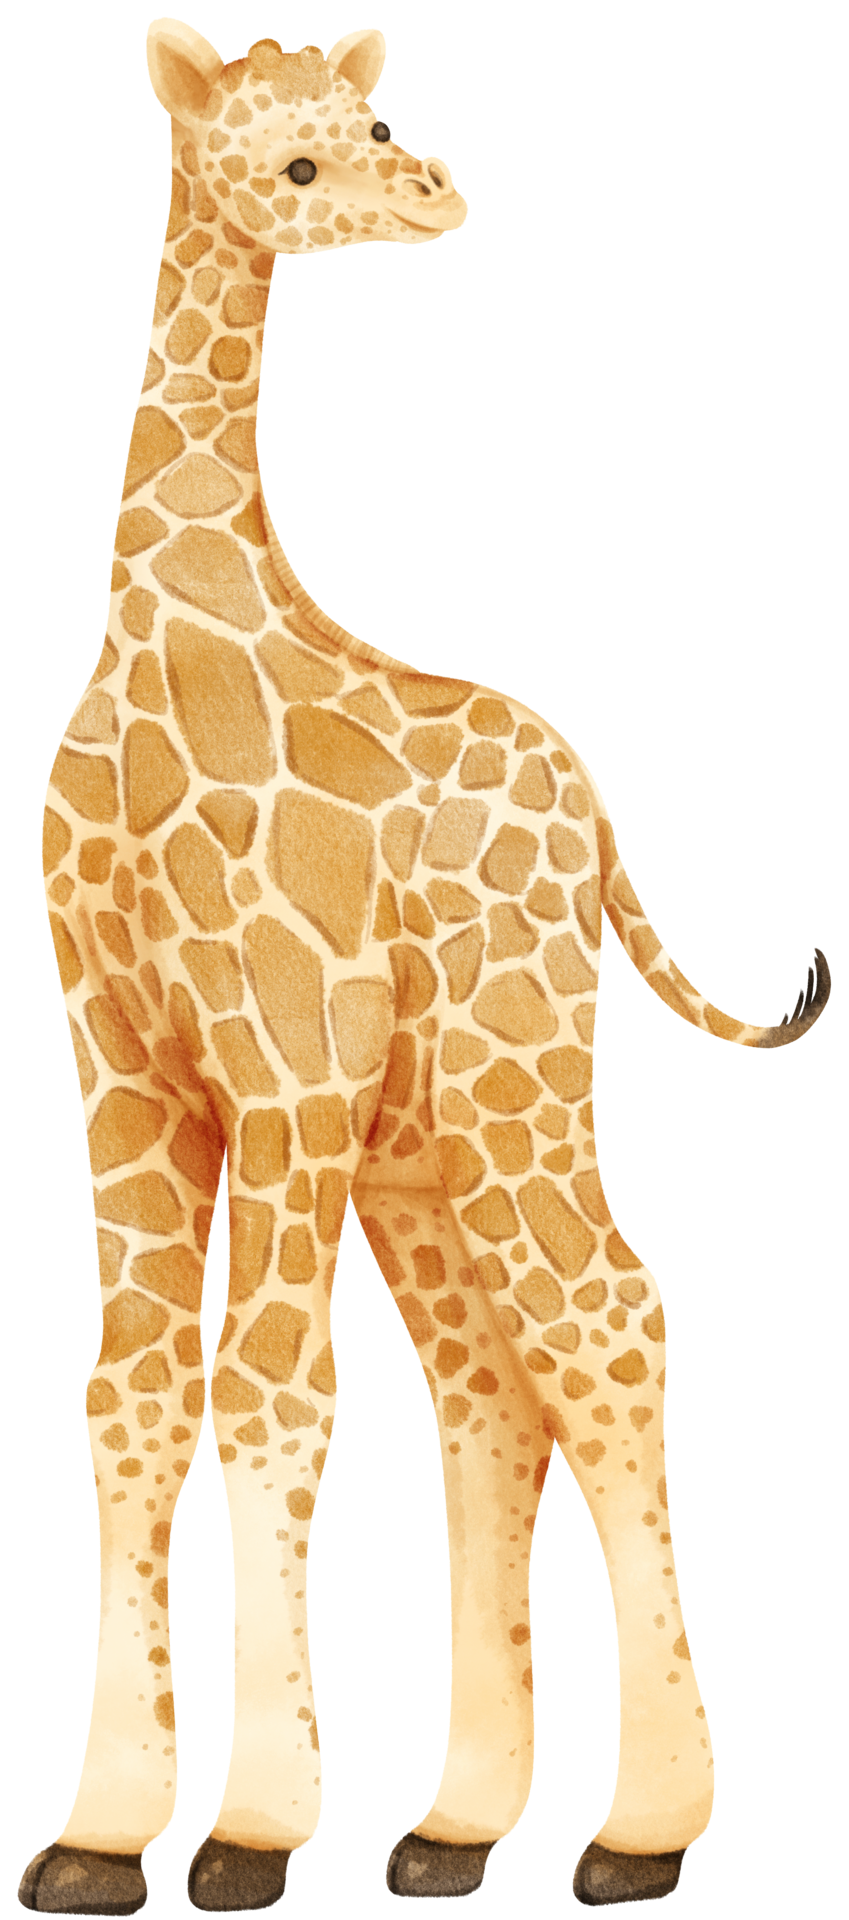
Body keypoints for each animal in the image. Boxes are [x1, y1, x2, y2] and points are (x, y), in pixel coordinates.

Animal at [19, 17, 833, 1917]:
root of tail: (593, 819)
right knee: (488, 1380)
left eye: (367, 118)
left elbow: (271, 1395)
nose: (435, 190)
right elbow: (132, 1393)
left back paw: (633, 1837)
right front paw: (100, 1832)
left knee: (606, 1312)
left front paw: (248, 1830)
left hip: (507, 1061)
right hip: (420, 1142)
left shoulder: (281, 1065)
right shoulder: (119, 1060)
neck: (169, 631)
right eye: (299, 159)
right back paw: (459, 1827)